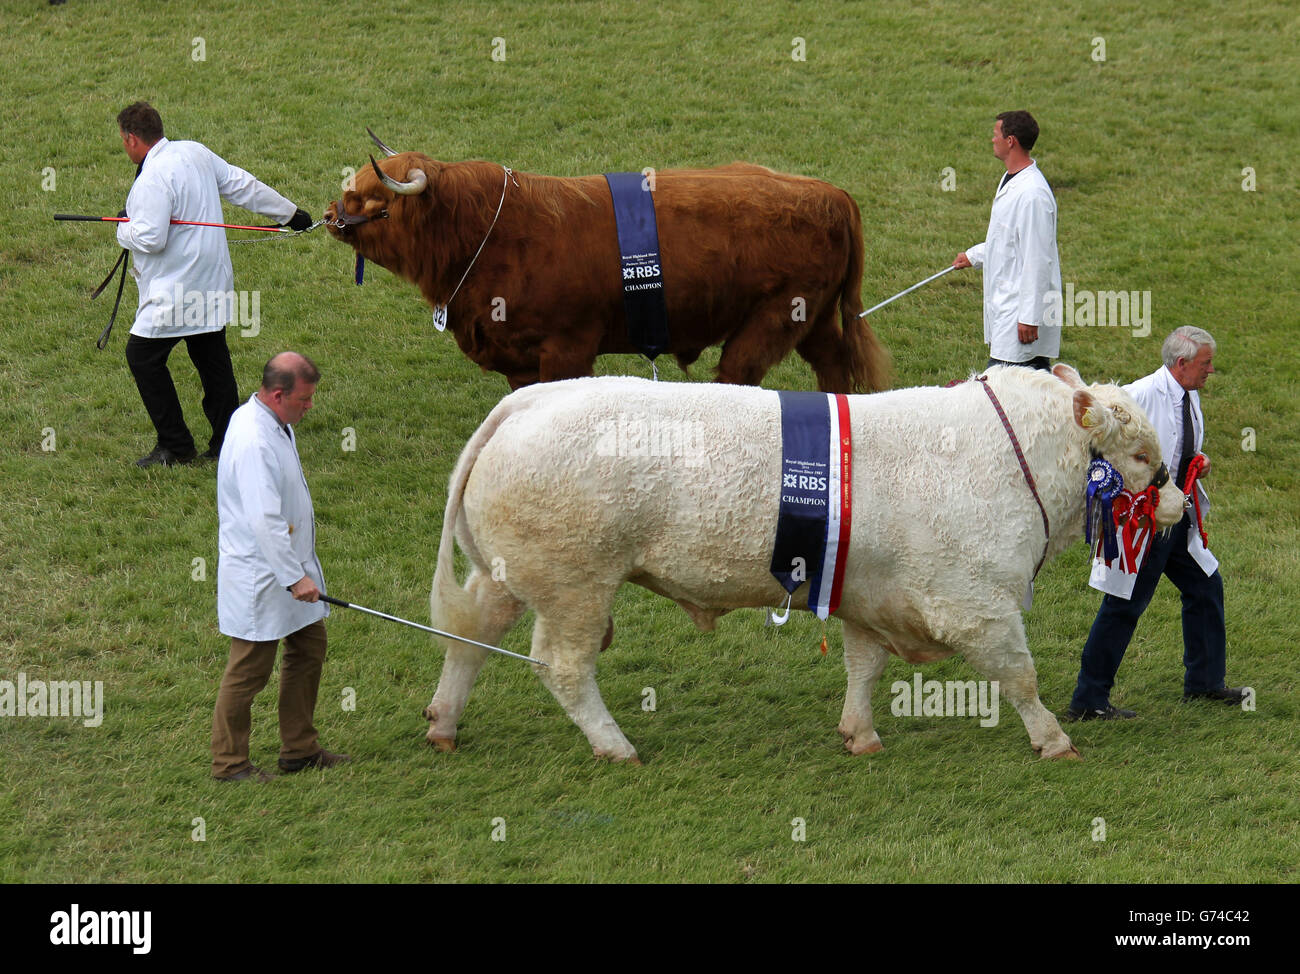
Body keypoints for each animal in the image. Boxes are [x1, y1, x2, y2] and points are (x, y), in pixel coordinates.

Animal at [323, 137, 889, 393]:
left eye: (377, 201)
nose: (328, 216)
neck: (491, 236)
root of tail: (827, 192)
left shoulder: (567, 349)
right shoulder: (518, 360)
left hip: (772, 318)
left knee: (740, 376)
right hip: (811, 316)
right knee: (833, 362)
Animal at [420, 365, 1185, 763]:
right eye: (1141, 454)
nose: (1177, 500)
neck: (1007, 458)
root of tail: (530, 399)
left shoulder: (871, 597)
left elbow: (863, 669)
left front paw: (860, 734)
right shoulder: (975, 603)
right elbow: (1020, 677)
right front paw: (1054, 739)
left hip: (509, 576)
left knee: (469, 636)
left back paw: (444, 723)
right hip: (578, 586)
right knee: (564, 666)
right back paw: (615, 744)